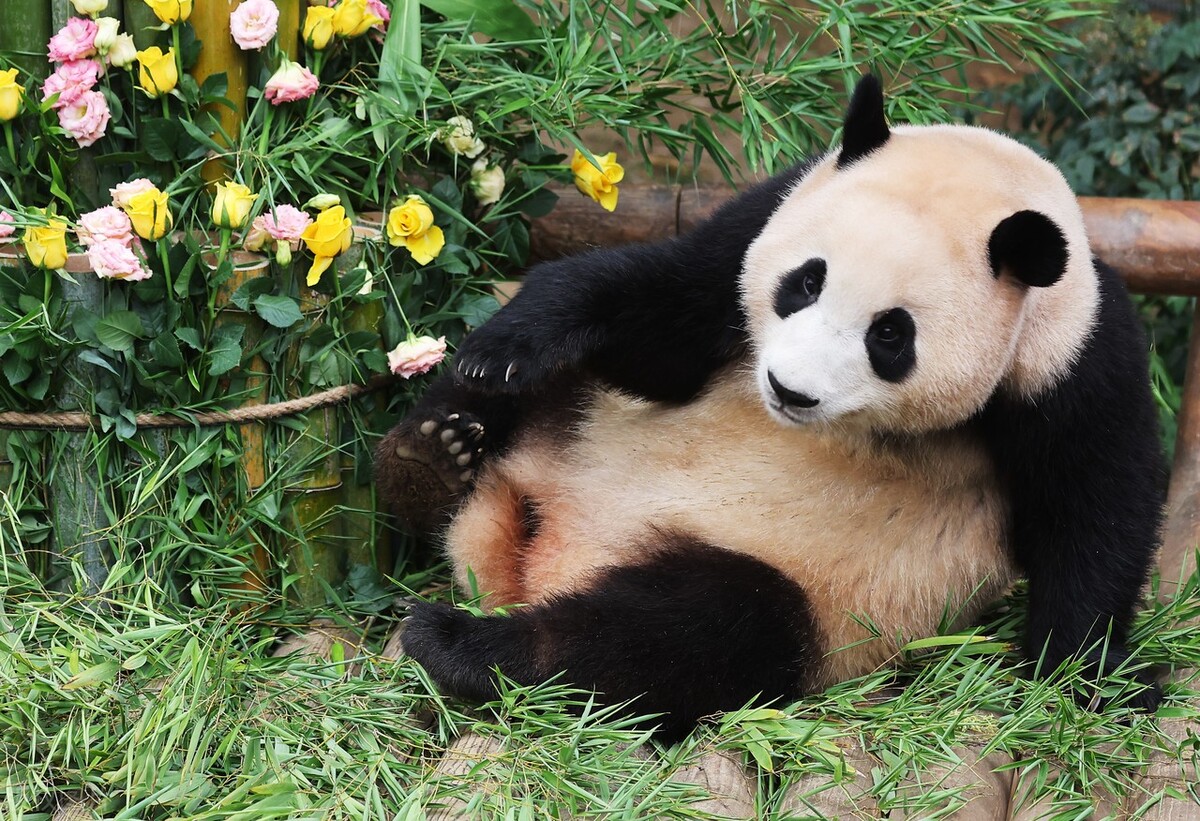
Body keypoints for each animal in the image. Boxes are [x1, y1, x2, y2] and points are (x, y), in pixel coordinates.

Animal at [376, 76, 1166, 741]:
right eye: (805, 281)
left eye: (891, 334)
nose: (787, 389)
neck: (1000, 181)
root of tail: (527, 562)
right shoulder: (761, 218)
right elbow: (662, 322)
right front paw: (511, 346)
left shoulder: (1075, 357)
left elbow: (1096, 512)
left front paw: (1087, 679)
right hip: (572, 422)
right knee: (498, 415)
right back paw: (428, 459)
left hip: (807, 588)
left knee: (682, 636)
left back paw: (470, 647)